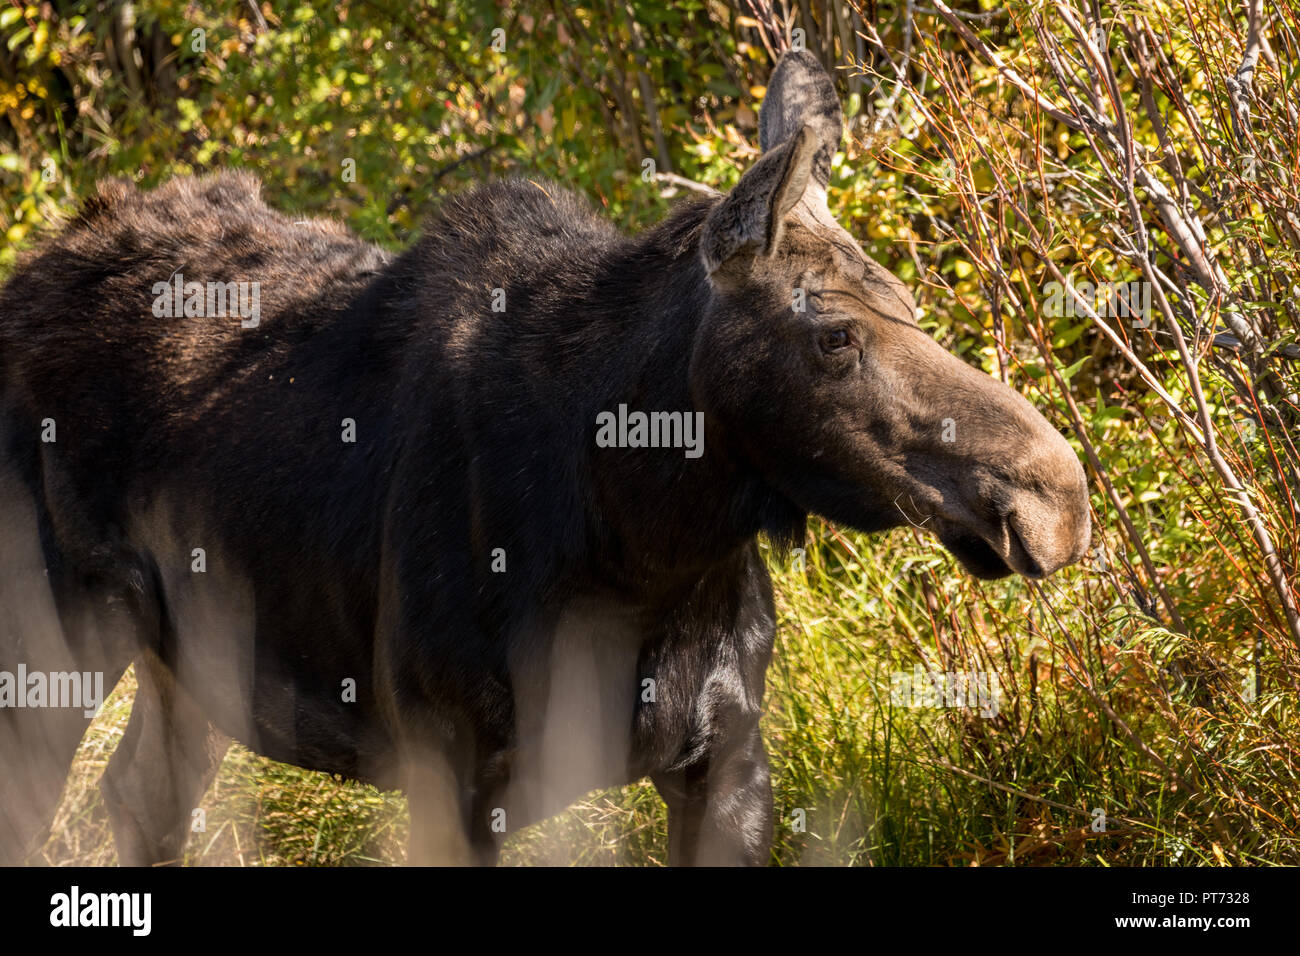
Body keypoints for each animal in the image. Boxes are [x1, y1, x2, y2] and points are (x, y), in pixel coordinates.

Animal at [0, 50, 1090, 866]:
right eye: (833, 337)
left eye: (906, 301)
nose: (1055, 496)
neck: (644, 536)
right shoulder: (449, 771)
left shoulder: (730, 760)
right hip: (54, 640)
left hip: (191, 658)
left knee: (139, 797)